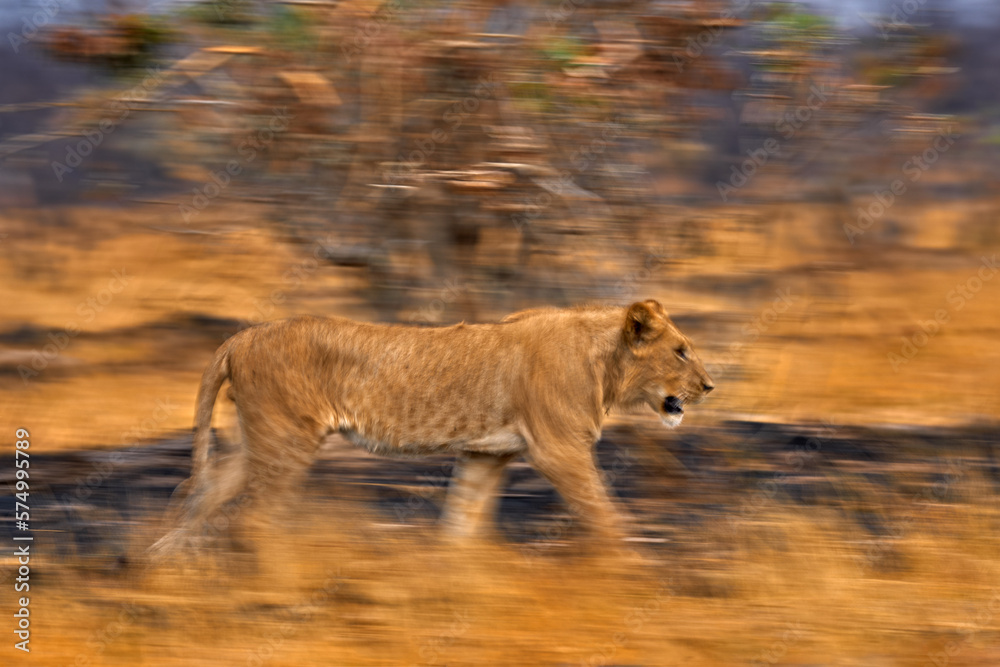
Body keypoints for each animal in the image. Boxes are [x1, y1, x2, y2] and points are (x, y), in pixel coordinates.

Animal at [148, 299, 713, 558]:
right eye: (681, 351)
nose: (710, 386)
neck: (606, 366)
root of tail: (242, 336)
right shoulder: (560, 450)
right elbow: (607, 518)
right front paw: (633, 574)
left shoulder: (487, 454)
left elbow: (460, 524)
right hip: (288, 439)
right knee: (255, 518)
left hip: (261, 439)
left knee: (200, 489)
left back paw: (163, 566)